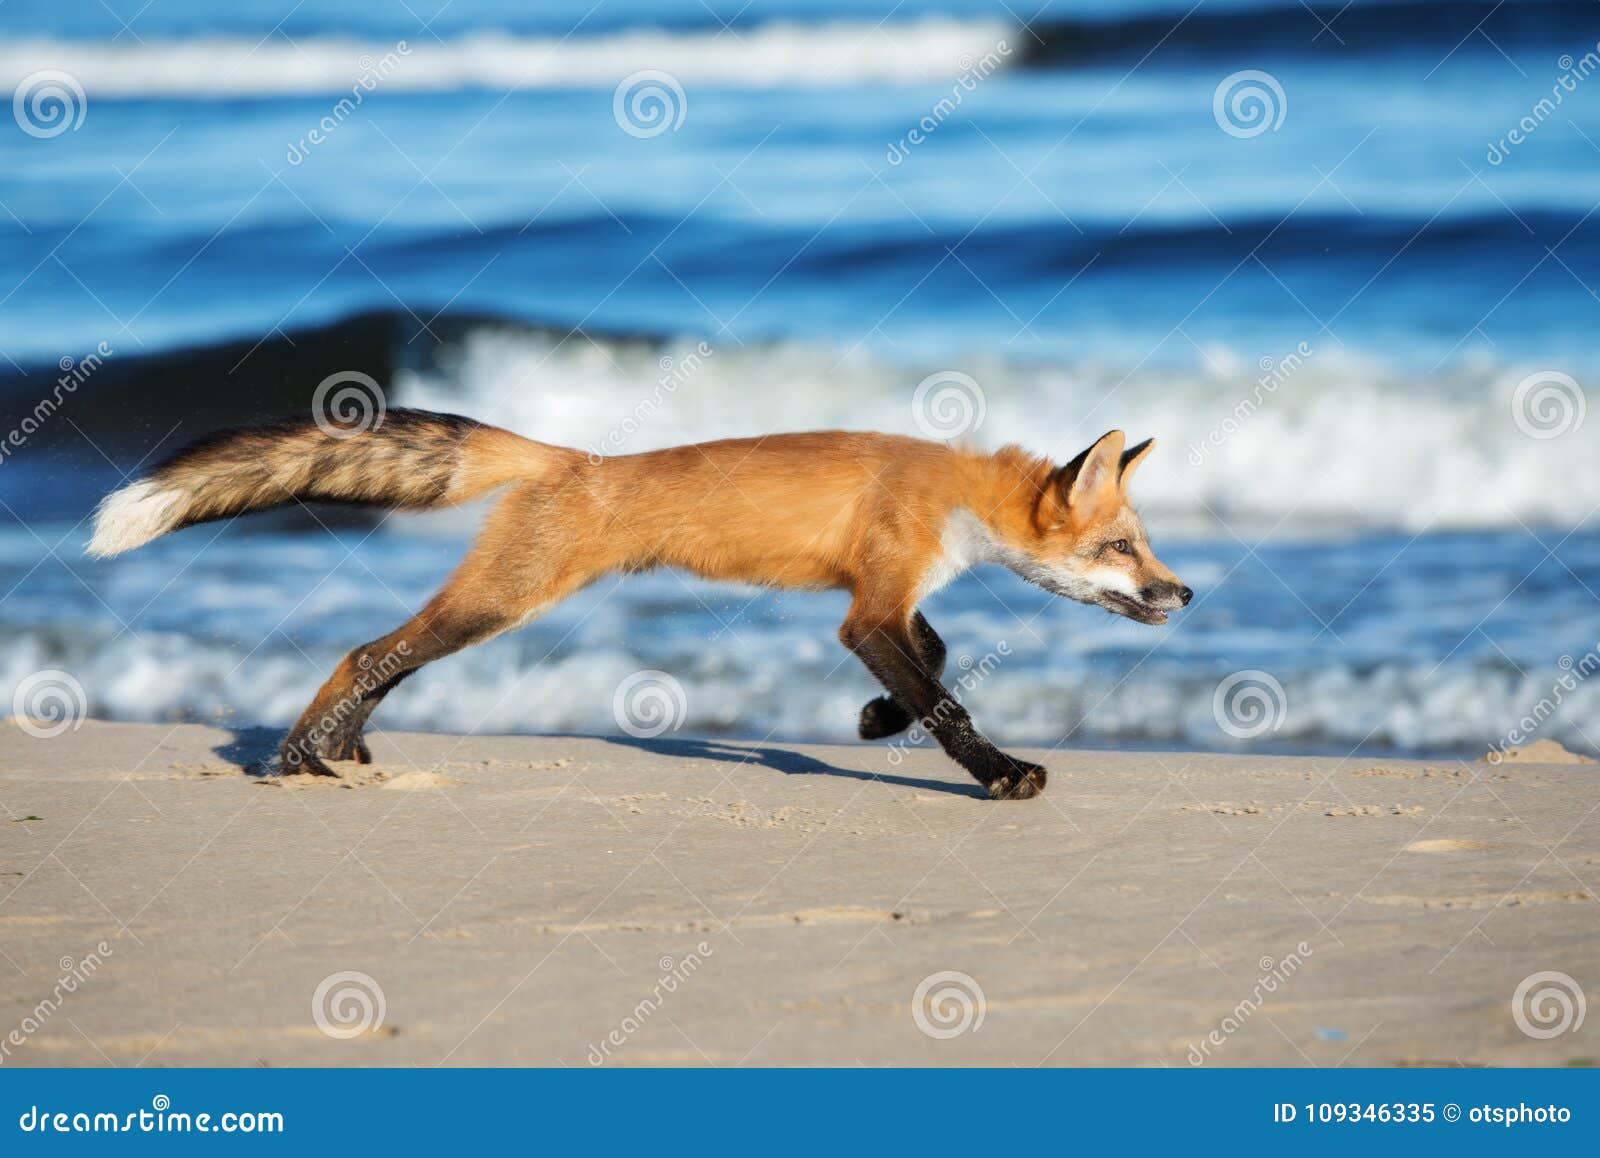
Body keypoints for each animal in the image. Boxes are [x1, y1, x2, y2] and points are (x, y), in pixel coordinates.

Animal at [86, 409, 1191, 798]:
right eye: (1122, 548)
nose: (1183, 590)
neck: (955, 494)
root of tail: (570, 458)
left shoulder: (887, 598)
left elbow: (939, 653)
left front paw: (879, 717)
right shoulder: (867, 608)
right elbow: (948, 700)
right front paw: (997, 771)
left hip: (492, 605)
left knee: (385, 661)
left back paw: (341, 748)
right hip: (502, 602)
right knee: (367, 653)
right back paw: (305, 752)